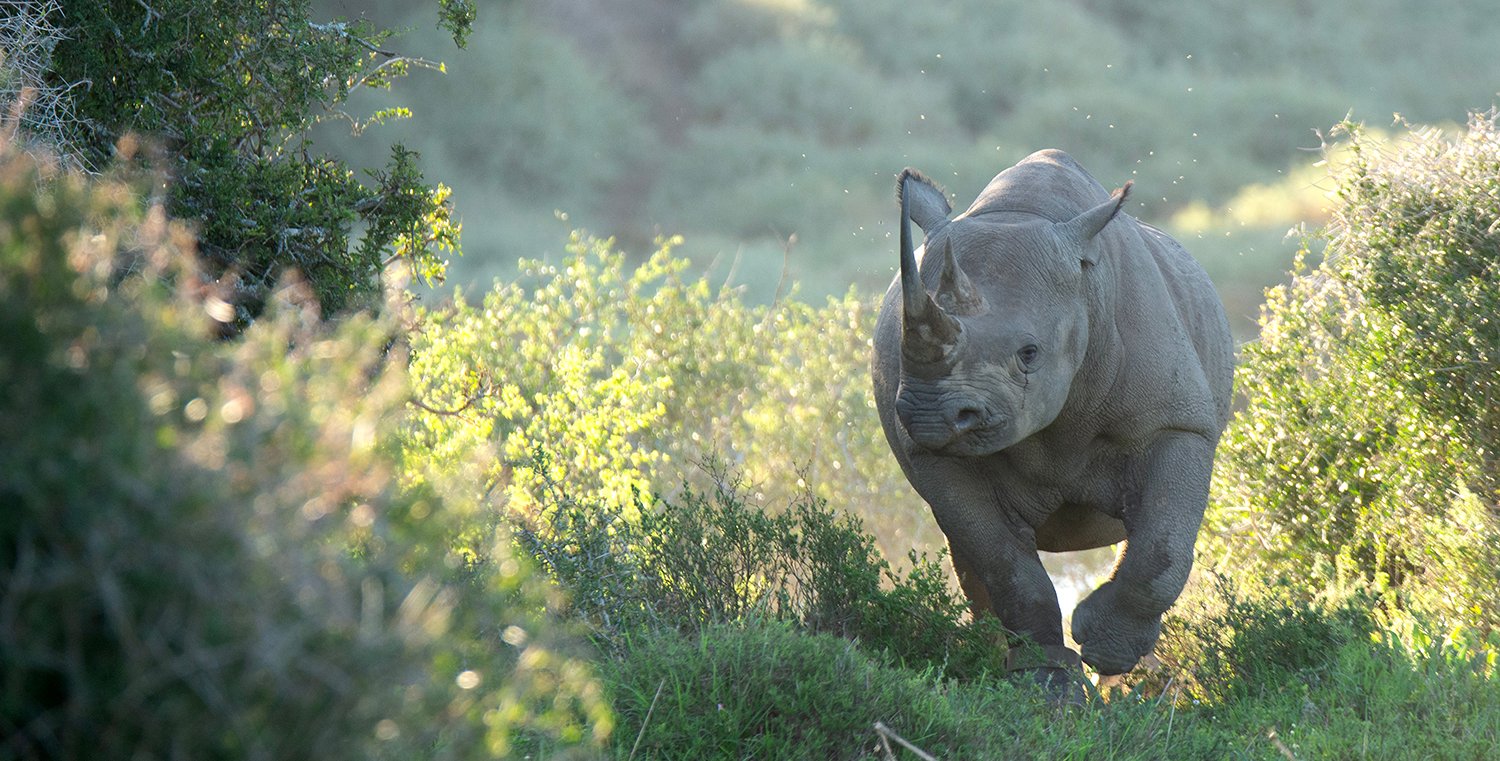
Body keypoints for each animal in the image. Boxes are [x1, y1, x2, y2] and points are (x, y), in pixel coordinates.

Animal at [871, 150, 1233, 682]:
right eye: (899, 347)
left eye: (1029, 353)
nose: (931, 415)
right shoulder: (934, 456)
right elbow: (1003, 563)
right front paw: (1045, 680)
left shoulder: (1177, 423)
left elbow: (1162, 548)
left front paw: (1104, 646)